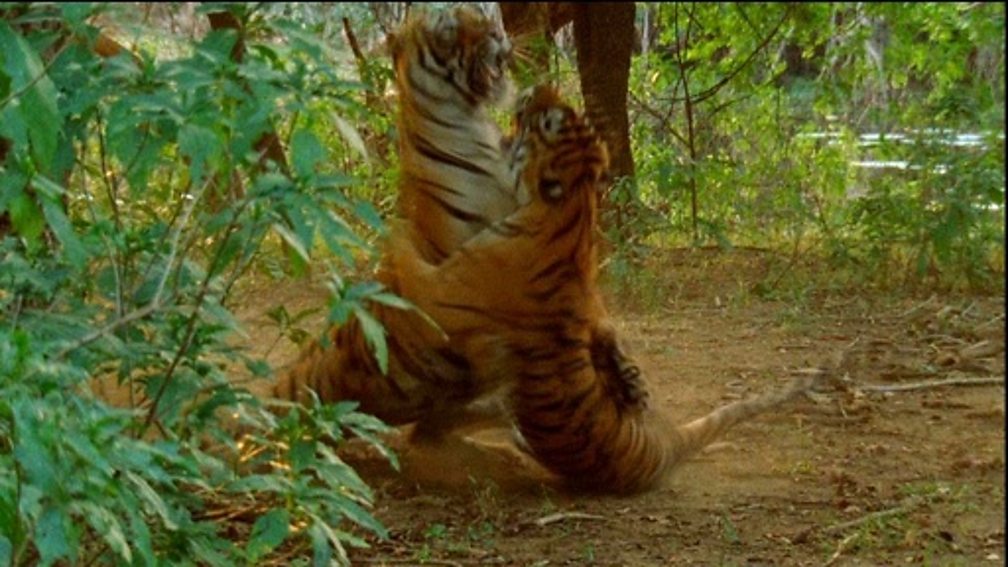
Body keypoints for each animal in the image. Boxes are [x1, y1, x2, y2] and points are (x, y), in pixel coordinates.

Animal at [385, 85, 813, 494]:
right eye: (573, 118)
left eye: (548, 123)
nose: (536, 88)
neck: (576, 205)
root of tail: (666, 443)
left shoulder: (444, 287)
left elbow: (406, 258)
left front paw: (392, 229)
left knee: (430, 433)